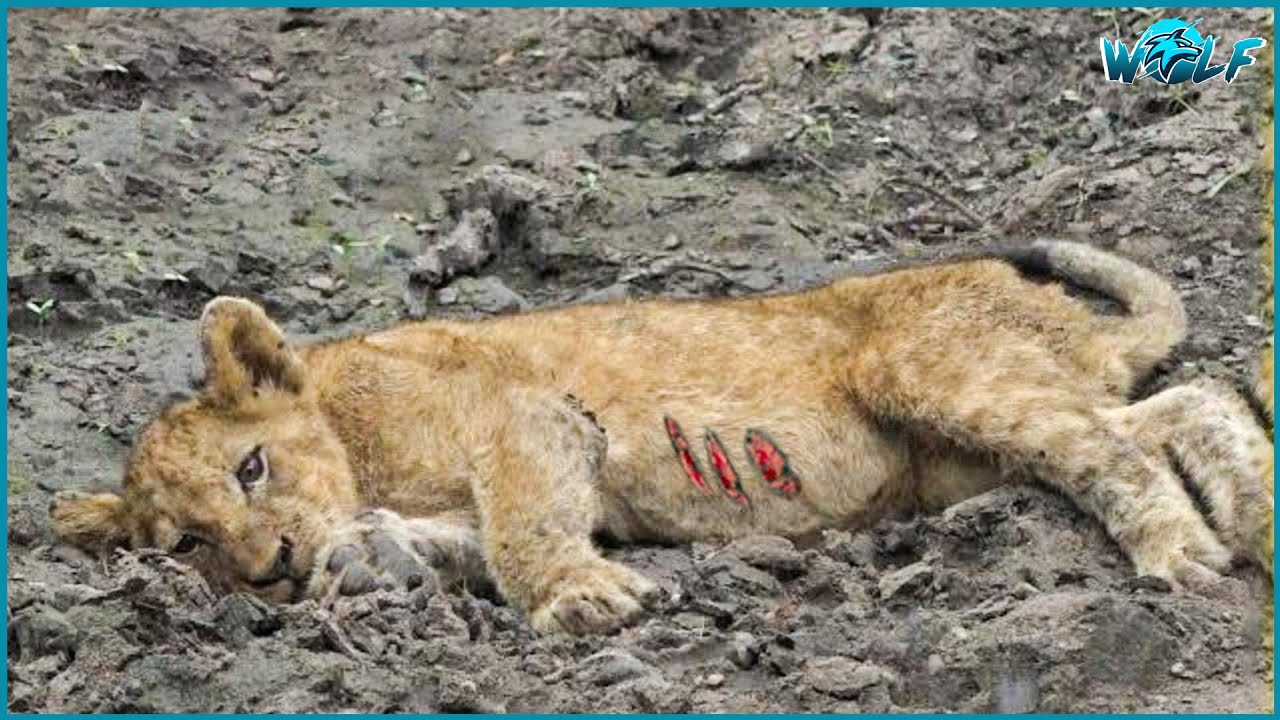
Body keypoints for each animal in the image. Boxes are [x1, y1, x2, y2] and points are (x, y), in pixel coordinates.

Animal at [51, 240, 1274, 635]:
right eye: (186, 545)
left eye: (250, 466)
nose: (267, 568)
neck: (347, 426)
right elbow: (456, 540)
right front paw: (370, 563)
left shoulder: (527, 417)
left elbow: (522, 529)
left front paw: (585, 599)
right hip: (964, 447)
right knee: (1187, 402)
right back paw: (1255, 521)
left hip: (938, 377)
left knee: (1120, 448)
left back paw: (1182, 553)